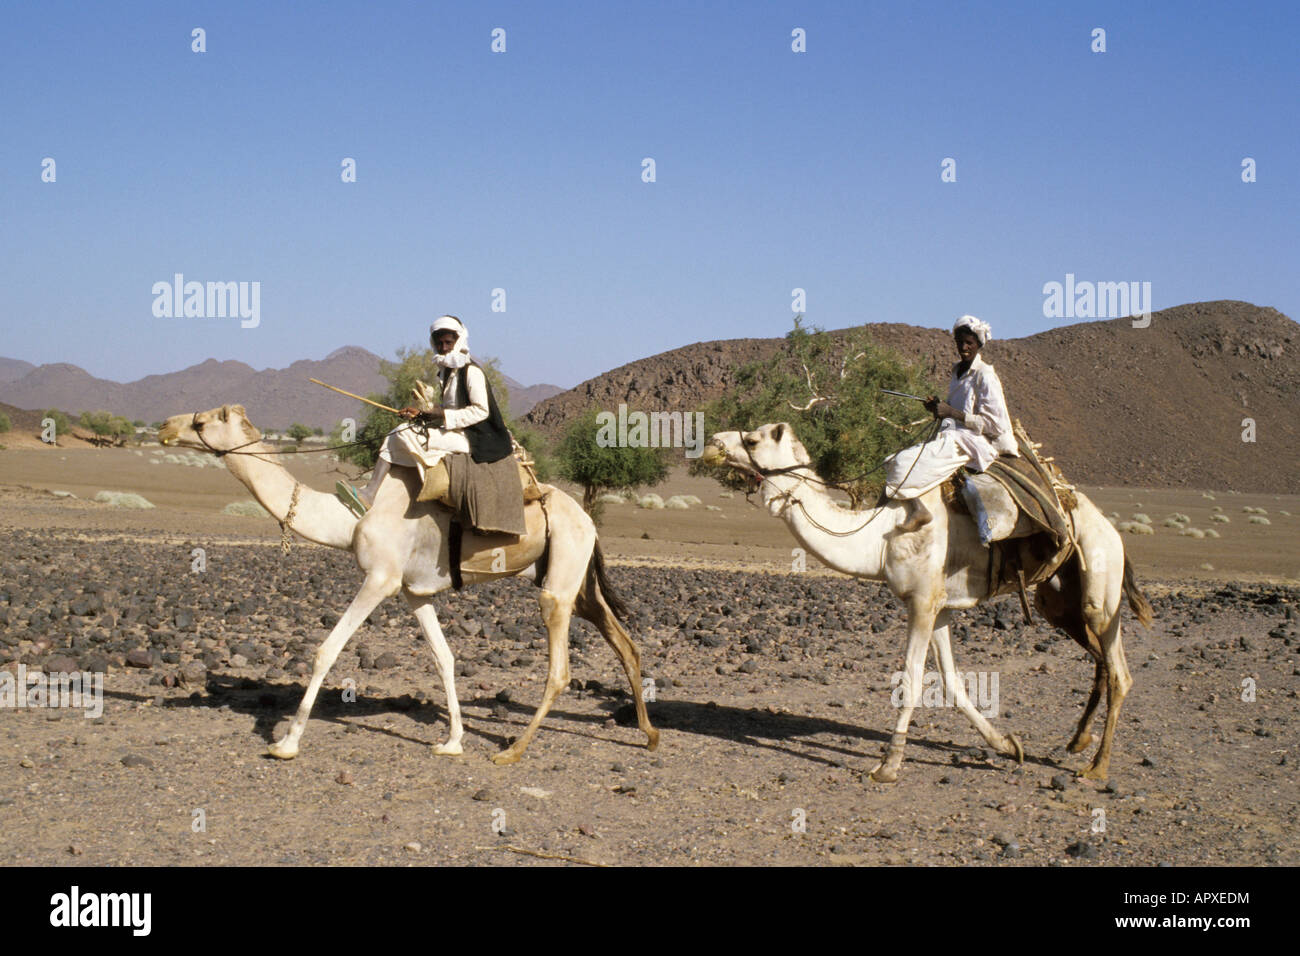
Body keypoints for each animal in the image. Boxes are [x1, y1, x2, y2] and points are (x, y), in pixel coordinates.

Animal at [158, 404, 658, 764]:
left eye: (201, 421)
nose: (164, 425)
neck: (351, 517)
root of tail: (587, 519)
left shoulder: (379, 579)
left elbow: (326, 650)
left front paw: (286, 743)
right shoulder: (413, 592)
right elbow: (444, 659)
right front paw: (452, 741)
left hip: (559, 582)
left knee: (560, 669)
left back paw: (514, 750)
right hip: (577, 579)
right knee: (624, 642)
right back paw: (649, 735)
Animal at [703, 422, 1151, 783]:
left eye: (752, 439)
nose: (711, 442)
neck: (880, 539)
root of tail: (1112, 530)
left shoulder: (920, 603)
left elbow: (912, 679)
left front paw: (888, 766)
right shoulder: (939, 609)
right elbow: (953, 683)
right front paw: (1009, 745)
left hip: (1099, 582)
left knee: (1120, 671)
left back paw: (1097, 767)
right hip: (1057, 603)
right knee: (1099, 659)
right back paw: (1077, 741)